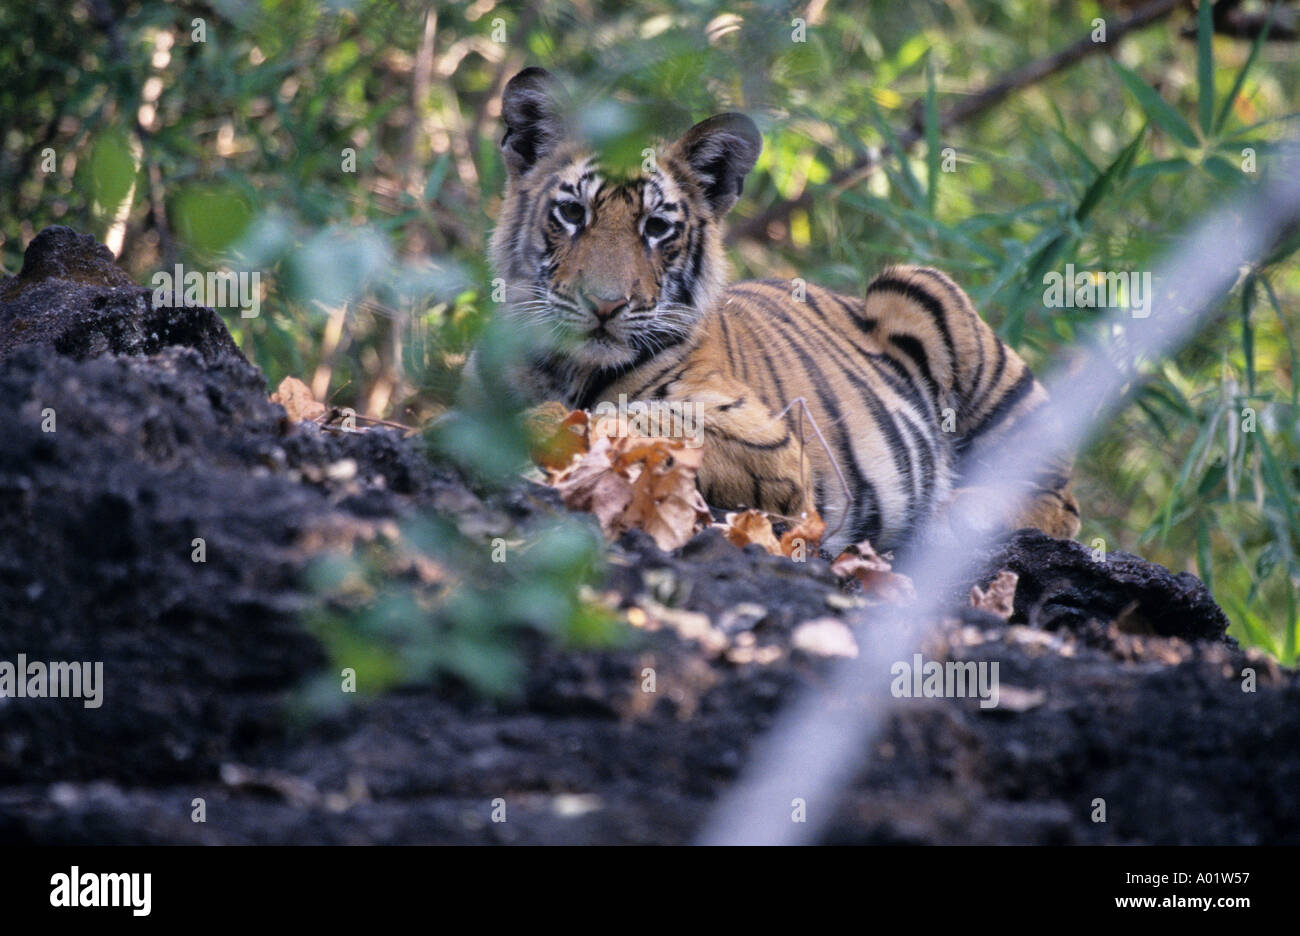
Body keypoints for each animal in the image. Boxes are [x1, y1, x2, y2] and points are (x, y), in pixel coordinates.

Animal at [474, 67, 1081, 552]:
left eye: (657, 227)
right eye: (573, 213)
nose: (605, 304)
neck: (566, 365)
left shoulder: (765, 438)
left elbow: (623, 417)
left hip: (922, 290)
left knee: (1056, 498)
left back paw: (958, 514)